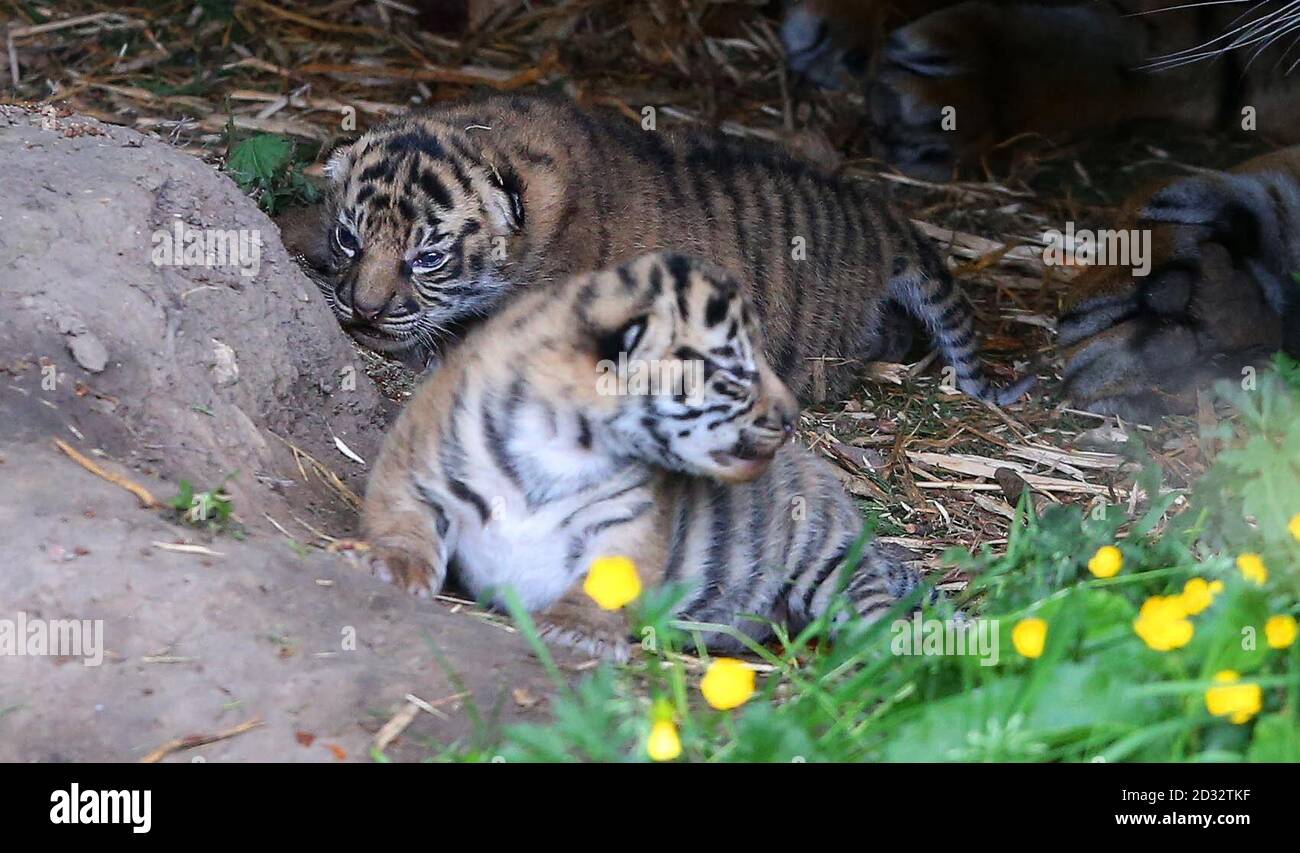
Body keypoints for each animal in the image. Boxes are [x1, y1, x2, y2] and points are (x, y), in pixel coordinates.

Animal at [361, 252, 925, 658]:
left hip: (830, 562)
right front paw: (390, 568)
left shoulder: (628, 524)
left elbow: (608, 582)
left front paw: (577, 631)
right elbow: (403, 524)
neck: (563, 443)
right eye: (735, 372)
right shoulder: (414, 466)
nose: (791, 417)